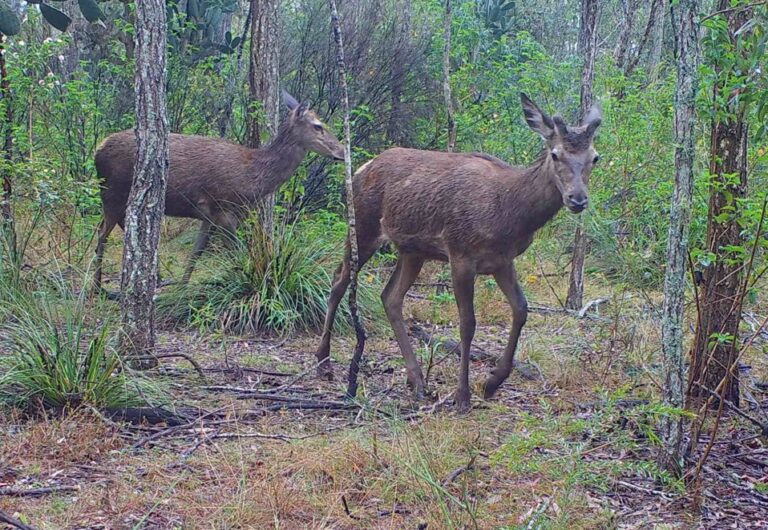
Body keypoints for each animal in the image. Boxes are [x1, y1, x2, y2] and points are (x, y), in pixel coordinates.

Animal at [92, 92, 345, 293]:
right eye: (318, 126)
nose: (342, 151)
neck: (252, 179)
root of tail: (98, 149)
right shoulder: (225, 210)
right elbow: (237, 252)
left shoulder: (210, 215)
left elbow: (197, 251)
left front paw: (182, 288)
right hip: (112, 193)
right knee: (102, 233)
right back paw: (98, 287)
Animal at [315, 93, 602, 410]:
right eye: (555, 154)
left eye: (594, 157)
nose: (577, 199)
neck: (511, 215)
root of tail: (361, 168)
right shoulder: (461, 253)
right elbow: (468, 322)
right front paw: (462, 394)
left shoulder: (502, 261)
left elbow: (521, 309)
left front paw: (492, 382)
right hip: (363, 228)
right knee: (339, 280)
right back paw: (323, 362)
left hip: (412, 251)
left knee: (389, 297)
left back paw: (417, 380)